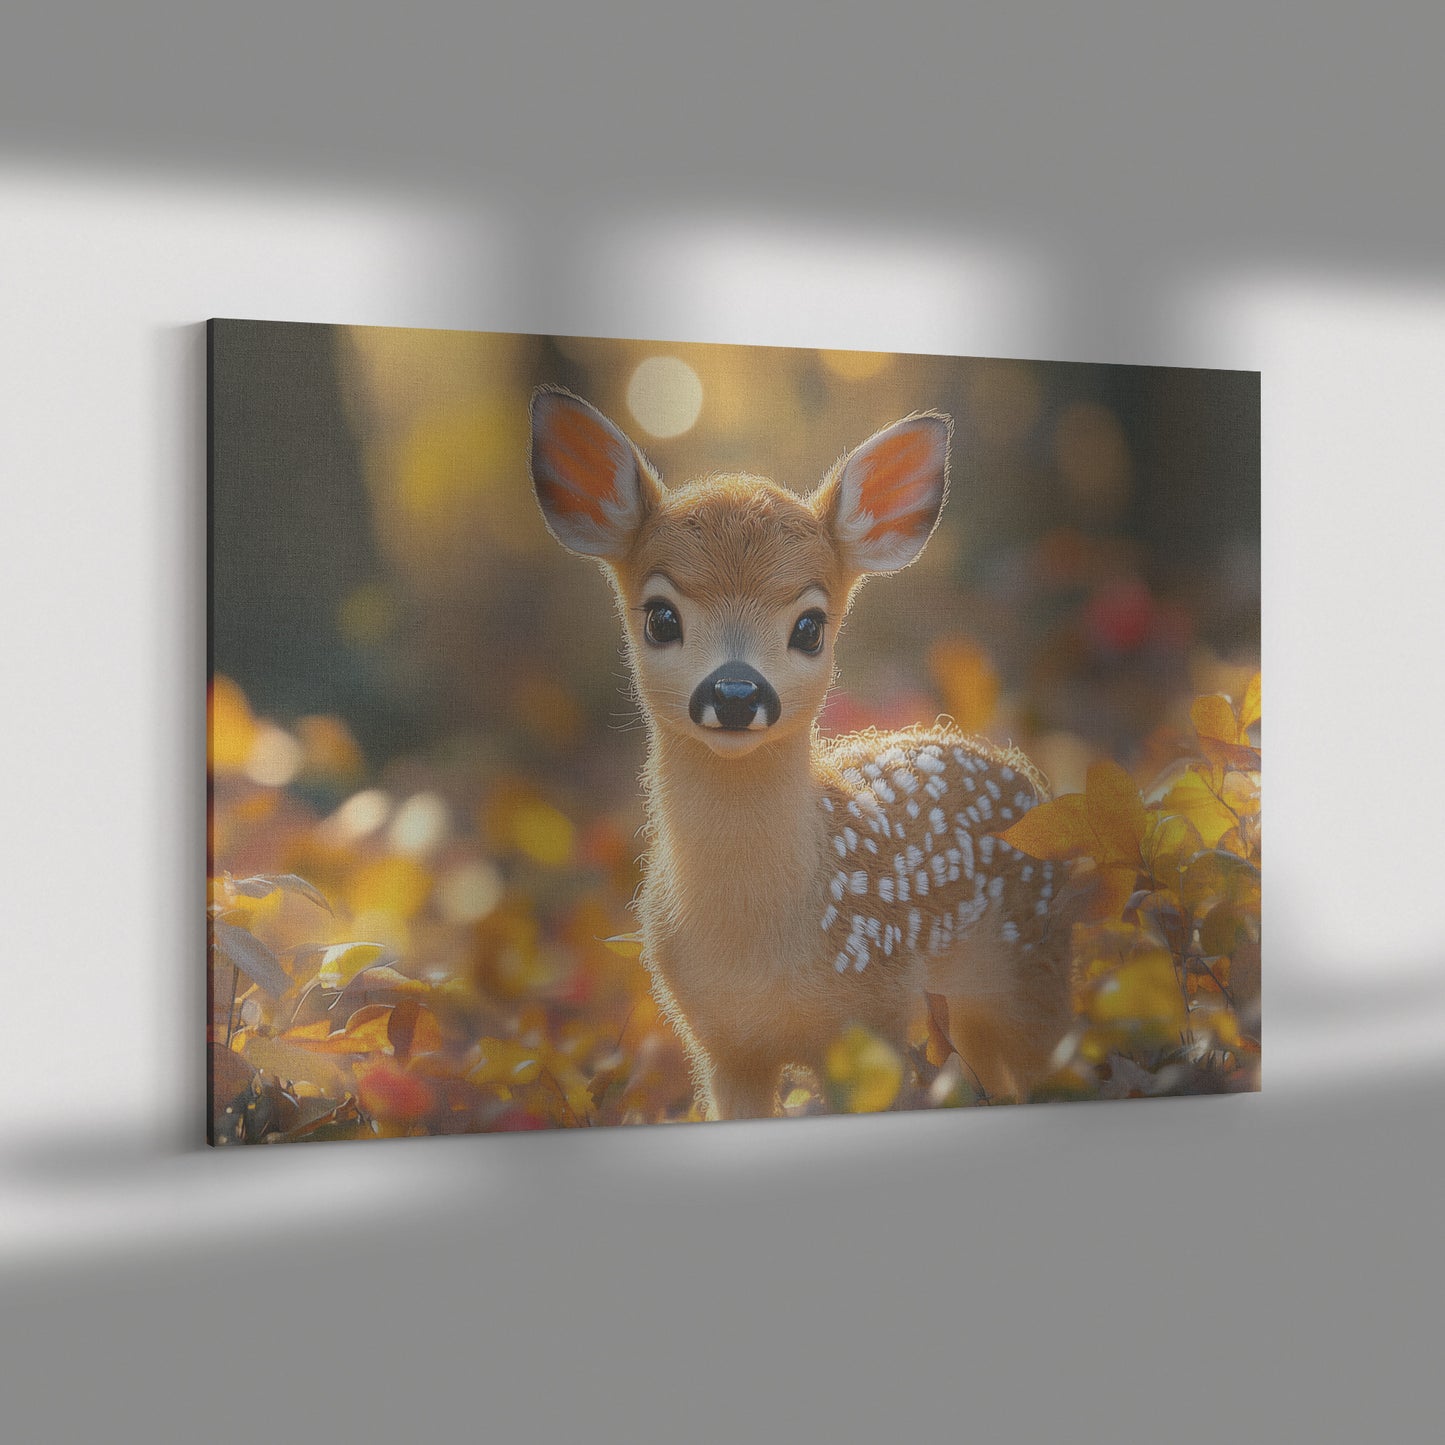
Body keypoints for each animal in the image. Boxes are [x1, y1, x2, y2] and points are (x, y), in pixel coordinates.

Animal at [529, 386, 1074, 1121]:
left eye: (810, 626)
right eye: (661, 617)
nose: (734, 691)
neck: (757, 950)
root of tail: (1023, 774)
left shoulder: (872, 1009)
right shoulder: (718, 1040)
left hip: (1032, 960)